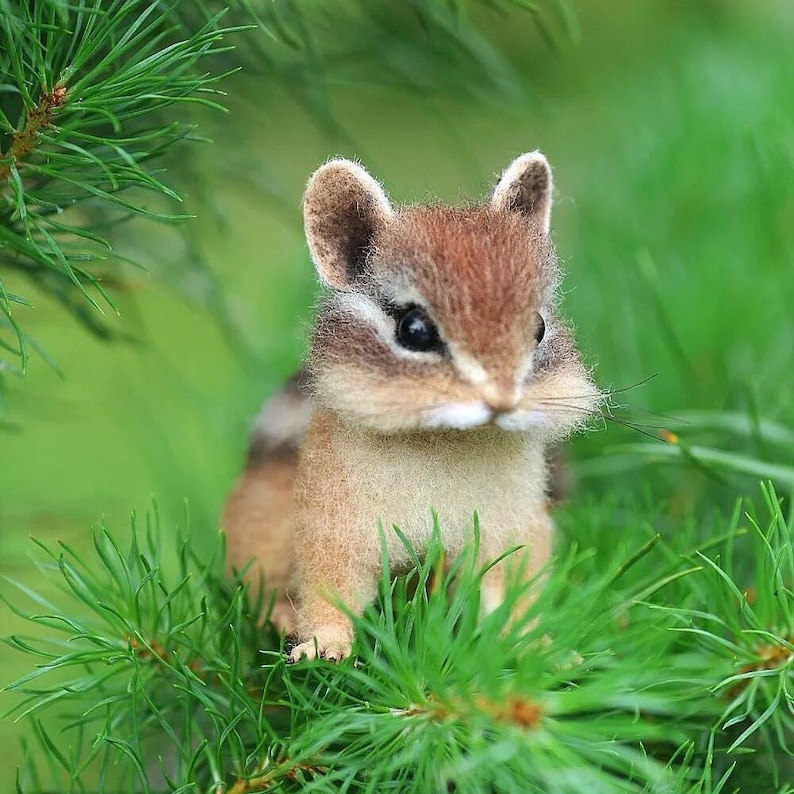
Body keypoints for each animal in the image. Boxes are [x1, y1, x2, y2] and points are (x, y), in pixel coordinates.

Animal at [222, 152, 602, 662]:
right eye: (415, 329)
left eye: (539, 326)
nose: (502, 400)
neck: (444, 442)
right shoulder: (331, 520)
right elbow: (329, 583)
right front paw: (323, 644)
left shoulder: (514, 528)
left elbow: (513, 588)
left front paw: (537, 646)